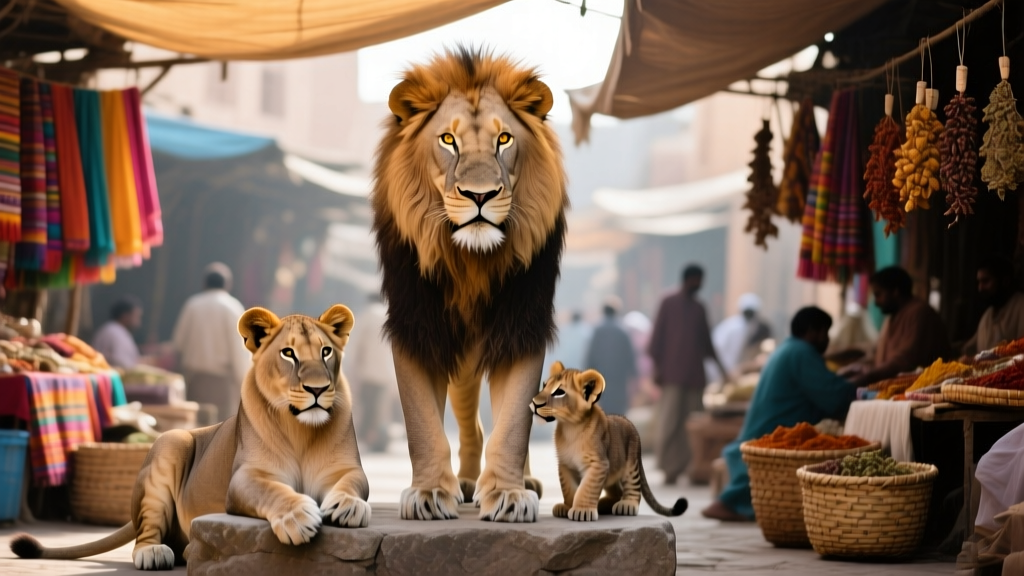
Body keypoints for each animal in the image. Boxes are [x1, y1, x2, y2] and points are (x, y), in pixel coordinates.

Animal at [10, 305, 370, 570]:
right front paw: (298, 518)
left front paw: (348, 506)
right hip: (170, 443)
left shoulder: (346, 469)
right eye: (288, 354)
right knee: (146, 532)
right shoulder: (244, 478)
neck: (302, 429)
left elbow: (353, 484)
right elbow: (274, 491)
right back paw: (154, 554)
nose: (317, 389)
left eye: (326, 352)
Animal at [372, 47, 567, 523]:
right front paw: (428, 494)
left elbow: (514, 421)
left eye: (504, 140)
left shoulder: (523, 323)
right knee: (470, 422)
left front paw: (509, 495)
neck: (471, 262)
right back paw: (463, 481)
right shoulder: (416, 323)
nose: (480, 196)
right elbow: (422, 422)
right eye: (447, 140)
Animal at [531, 362, 688, 521]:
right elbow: (569, 489)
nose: (534, 403)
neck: (570, 427)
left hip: (630, 465)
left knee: (633, 487)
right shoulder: (566, 464)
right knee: (616, 491)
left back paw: (627, 505)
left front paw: (582, 511)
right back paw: (603, 504)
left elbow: (586, 488)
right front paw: (567, 507)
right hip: (612, 470)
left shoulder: (598, 464)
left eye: (559, 392)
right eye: (544, 385)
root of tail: (628, 421)